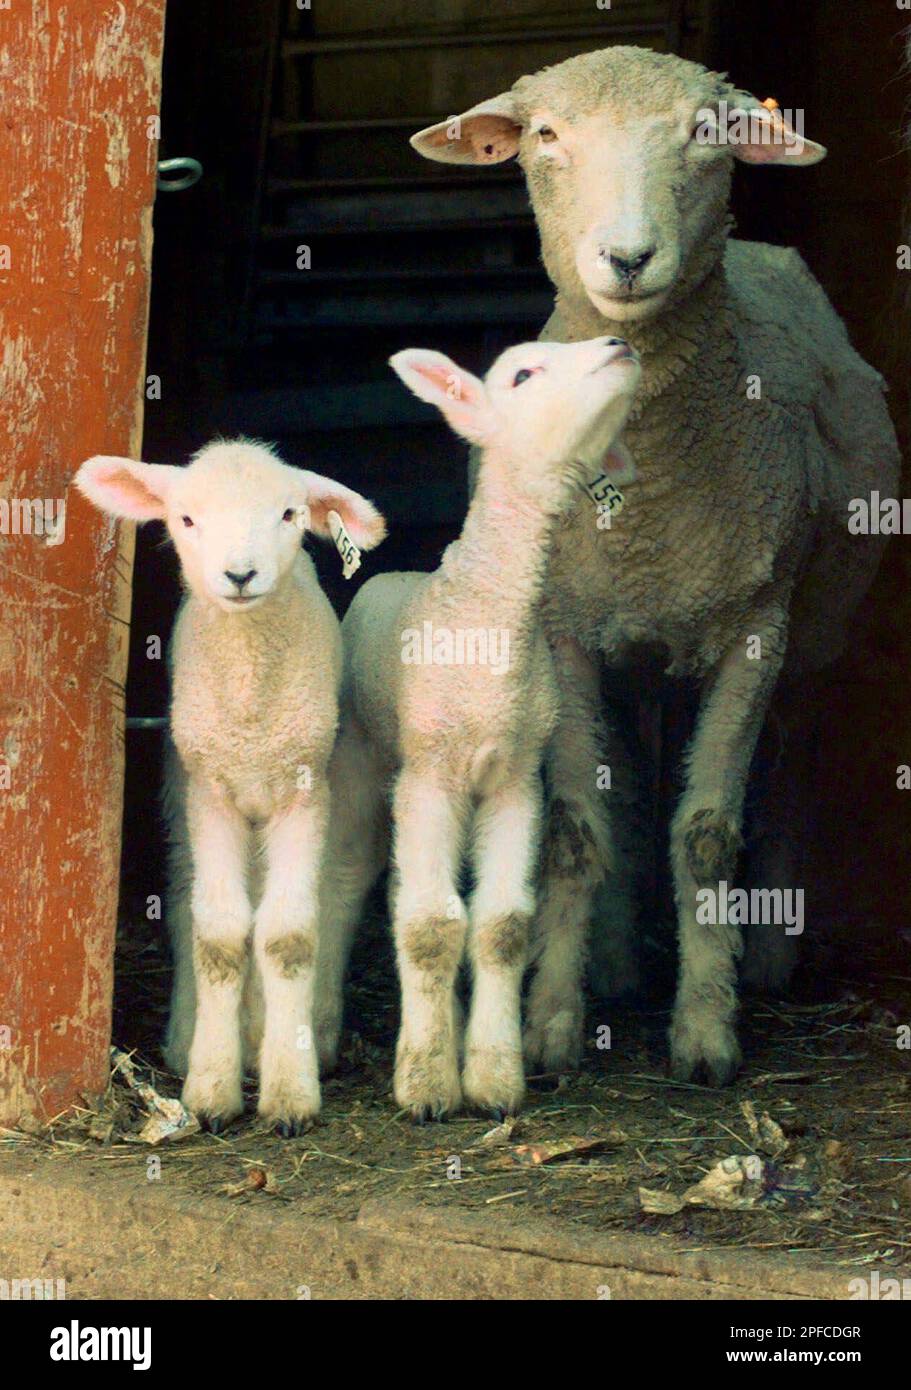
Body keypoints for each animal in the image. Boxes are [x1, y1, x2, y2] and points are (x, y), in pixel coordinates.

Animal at [75, 439, 386, 1132]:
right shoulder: (210, 791)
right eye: (187, 519)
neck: (251, 709)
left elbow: (289, 936)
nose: (240, 575)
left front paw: (290, 1090)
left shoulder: (302, 791)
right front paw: (212, 1089)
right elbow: (218, 935)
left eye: (290, 513)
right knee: (185, 889)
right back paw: (196, 1037)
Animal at [315, 336, 640, 1119]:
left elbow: (499, 925)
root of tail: (392, 577)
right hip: (365, 758)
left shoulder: (514, 777)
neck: (484, 609)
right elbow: (432, 927)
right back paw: (322, 1031)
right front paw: (428, 1085)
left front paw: (492, 1079)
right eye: (522, 374)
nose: (619, 344)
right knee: (345, 882)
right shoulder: (429, 774)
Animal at [411, 46, 901, 1085]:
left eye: (705, 132)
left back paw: (768, 953)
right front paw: (554, 1021)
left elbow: (707, 833)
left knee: (790, 768)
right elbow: (573, 825)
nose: (629, 258)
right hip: (628, 650)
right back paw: (616, 961)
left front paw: (706, 1029)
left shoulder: (756, 628)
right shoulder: (561, 630)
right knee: (626, 784)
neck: (644, 507)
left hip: (812, 636)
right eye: (546, 135)